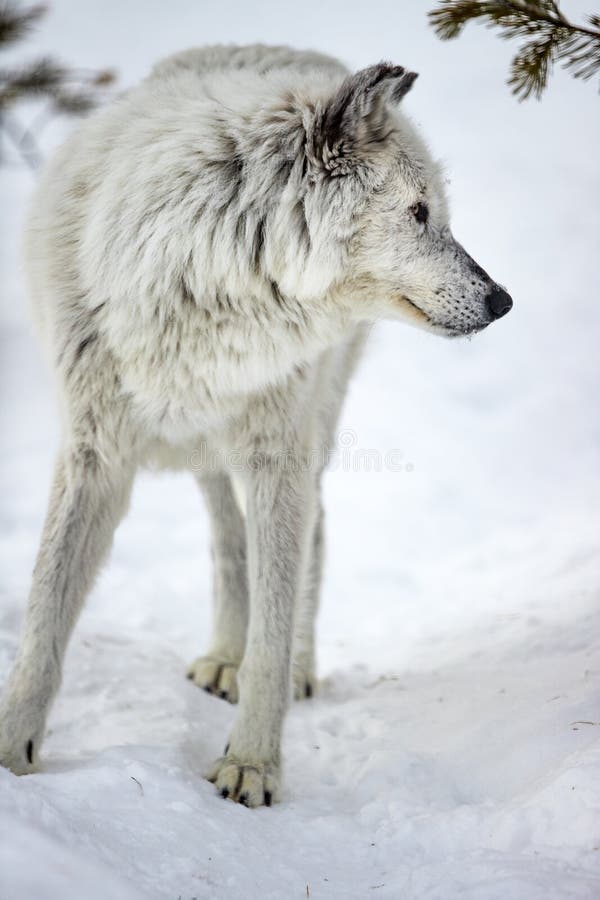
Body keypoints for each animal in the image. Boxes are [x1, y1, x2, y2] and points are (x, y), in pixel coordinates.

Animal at [0, 44, 511, 806]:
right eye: (421, 212)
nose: (502, 299)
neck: (201, 280)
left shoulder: (277, 463)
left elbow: (271, 636)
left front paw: (252, 767)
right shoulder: (95, 457)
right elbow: (43, 621)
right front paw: (13, 752)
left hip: (307, 430)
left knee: (312, 536)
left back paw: (296, 669)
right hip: (208, 453)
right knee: (226, 536)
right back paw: (220, 656)